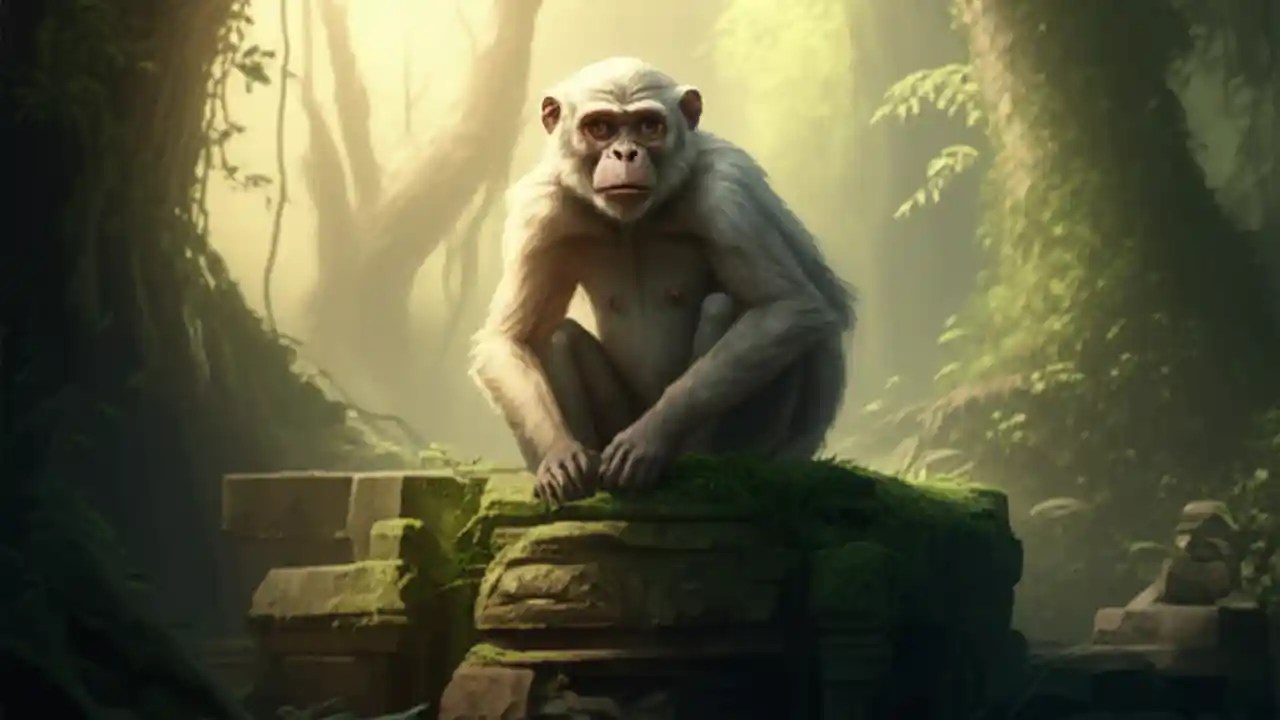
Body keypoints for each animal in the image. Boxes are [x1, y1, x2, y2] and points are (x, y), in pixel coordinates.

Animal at [469, 57, 855, 505]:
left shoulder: (728, 193)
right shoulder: (539, 210)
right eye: (600, 127)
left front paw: (647, 440)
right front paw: (559, 454)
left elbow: (788, 307)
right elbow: (507, 339)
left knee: (732, 310)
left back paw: (696, 457)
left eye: (648, 126)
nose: (625, 151)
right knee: (553, 335)